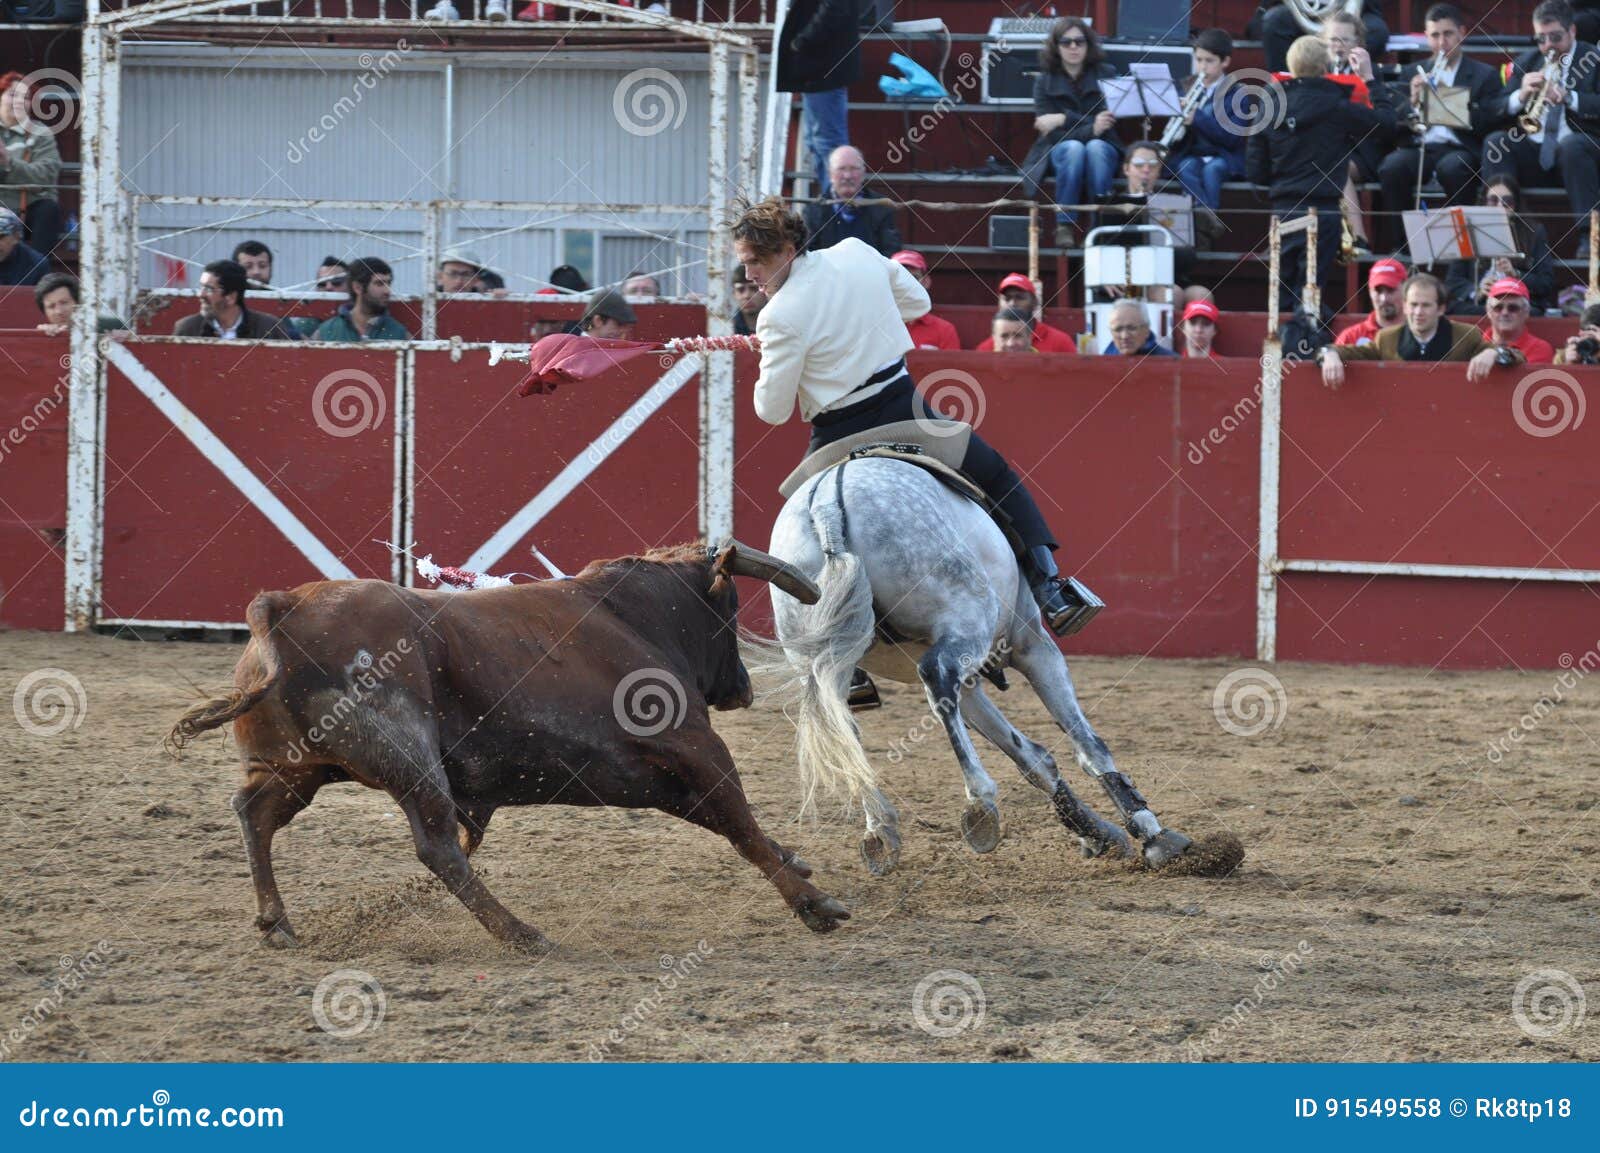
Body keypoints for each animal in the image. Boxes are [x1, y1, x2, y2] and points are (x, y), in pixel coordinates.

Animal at [168, 540, 849, 953]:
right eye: (728, 607)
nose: (742, 688)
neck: (633, 615)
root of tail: (284, 605)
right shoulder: (696, 748)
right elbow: (741, 823)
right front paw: (814, 903)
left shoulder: (657, 780)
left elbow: (733, 823)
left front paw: (798, 866)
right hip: (410, 761)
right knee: (439, 850)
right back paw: (521, 933)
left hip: (297, 770)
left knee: (254, 813)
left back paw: (277, 923)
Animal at [765, 453, 1210, 876]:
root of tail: (826, 504)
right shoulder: (1033, 646)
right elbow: (1087, 743)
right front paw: (1152, 832)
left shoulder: (972, 682)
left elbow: (1033, 758)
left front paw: (1097, 833)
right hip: (968, 622)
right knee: (936, 673)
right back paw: (978, 801)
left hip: (829, 662)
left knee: (843, 718)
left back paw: (881, 828)